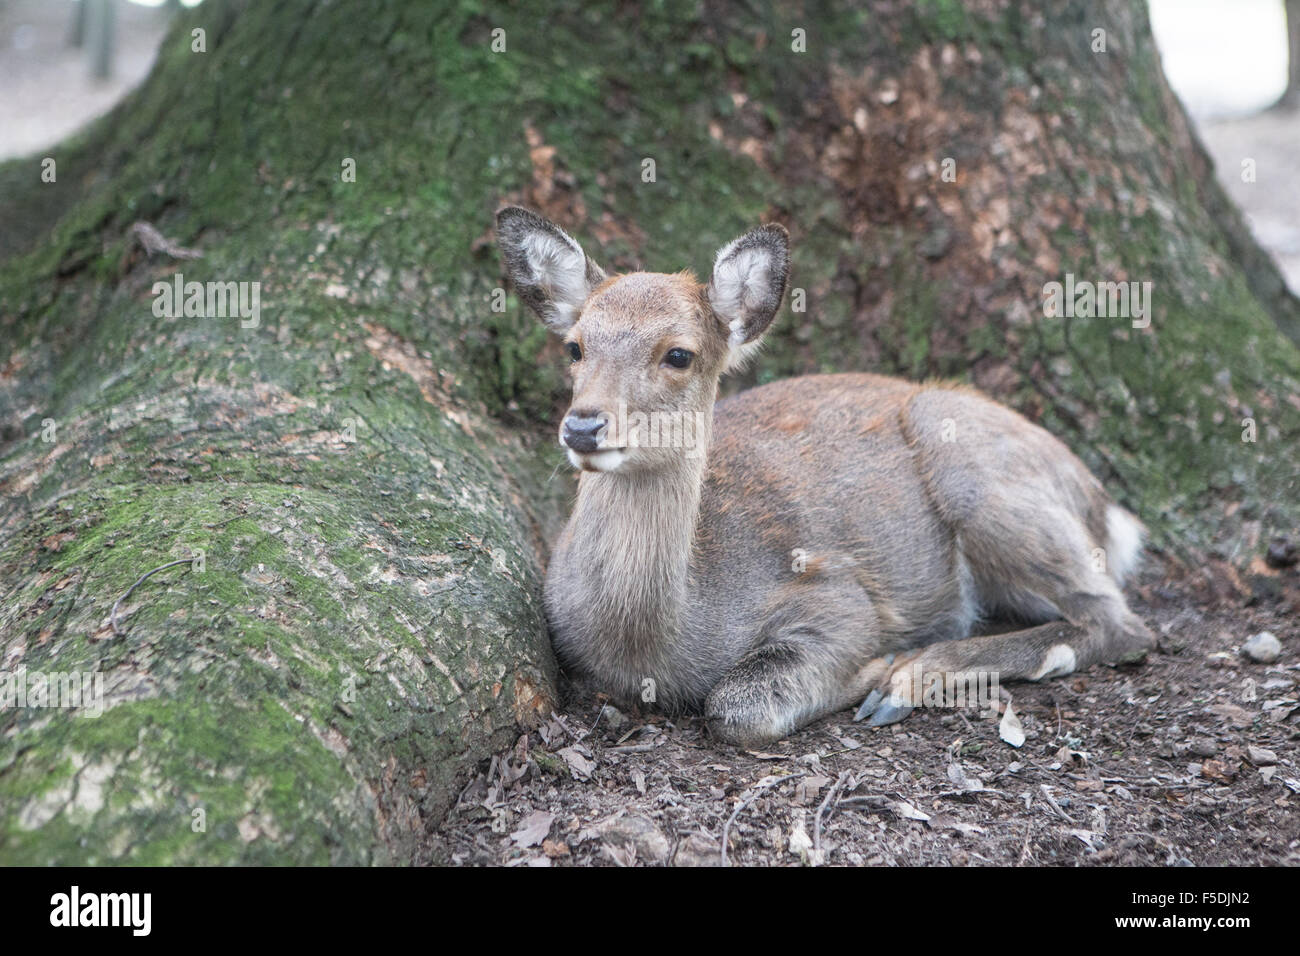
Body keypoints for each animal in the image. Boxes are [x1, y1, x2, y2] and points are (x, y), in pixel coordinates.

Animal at [496, 206, 1155, 748]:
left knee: (1121, 621)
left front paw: (877, 667)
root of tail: (1107, 509)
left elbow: (738, 704)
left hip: (984, 481)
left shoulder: (837, 592)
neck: (651, 647)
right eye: (575, 347)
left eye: (678, 354)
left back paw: (911, 676)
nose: (584, 427)